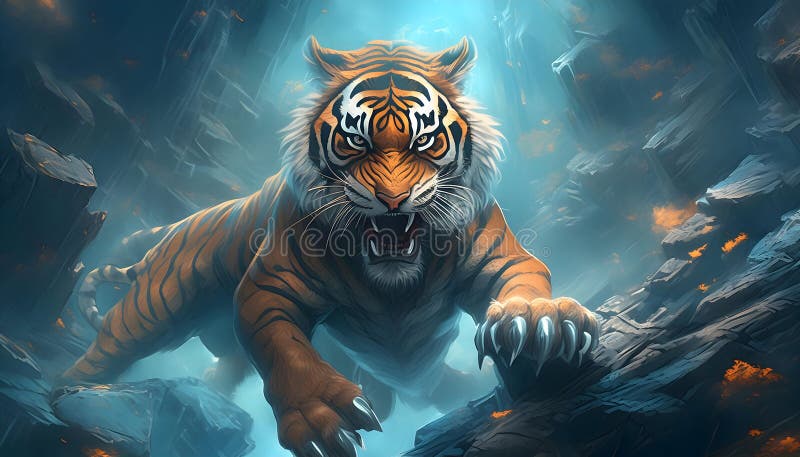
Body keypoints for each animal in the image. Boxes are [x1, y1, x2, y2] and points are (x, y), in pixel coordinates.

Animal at [63, 37, 600, 457]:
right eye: (355, 141)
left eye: (424, 139)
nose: (393, 199)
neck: (395, 282)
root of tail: (172, 230)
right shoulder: (268, 286)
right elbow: (285, 349)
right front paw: (321, 416)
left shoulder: (501, 256)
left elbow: (525, 283)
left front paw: (540, 323)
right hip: (150, 311)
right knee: (99, 355)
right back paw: (72, 398)